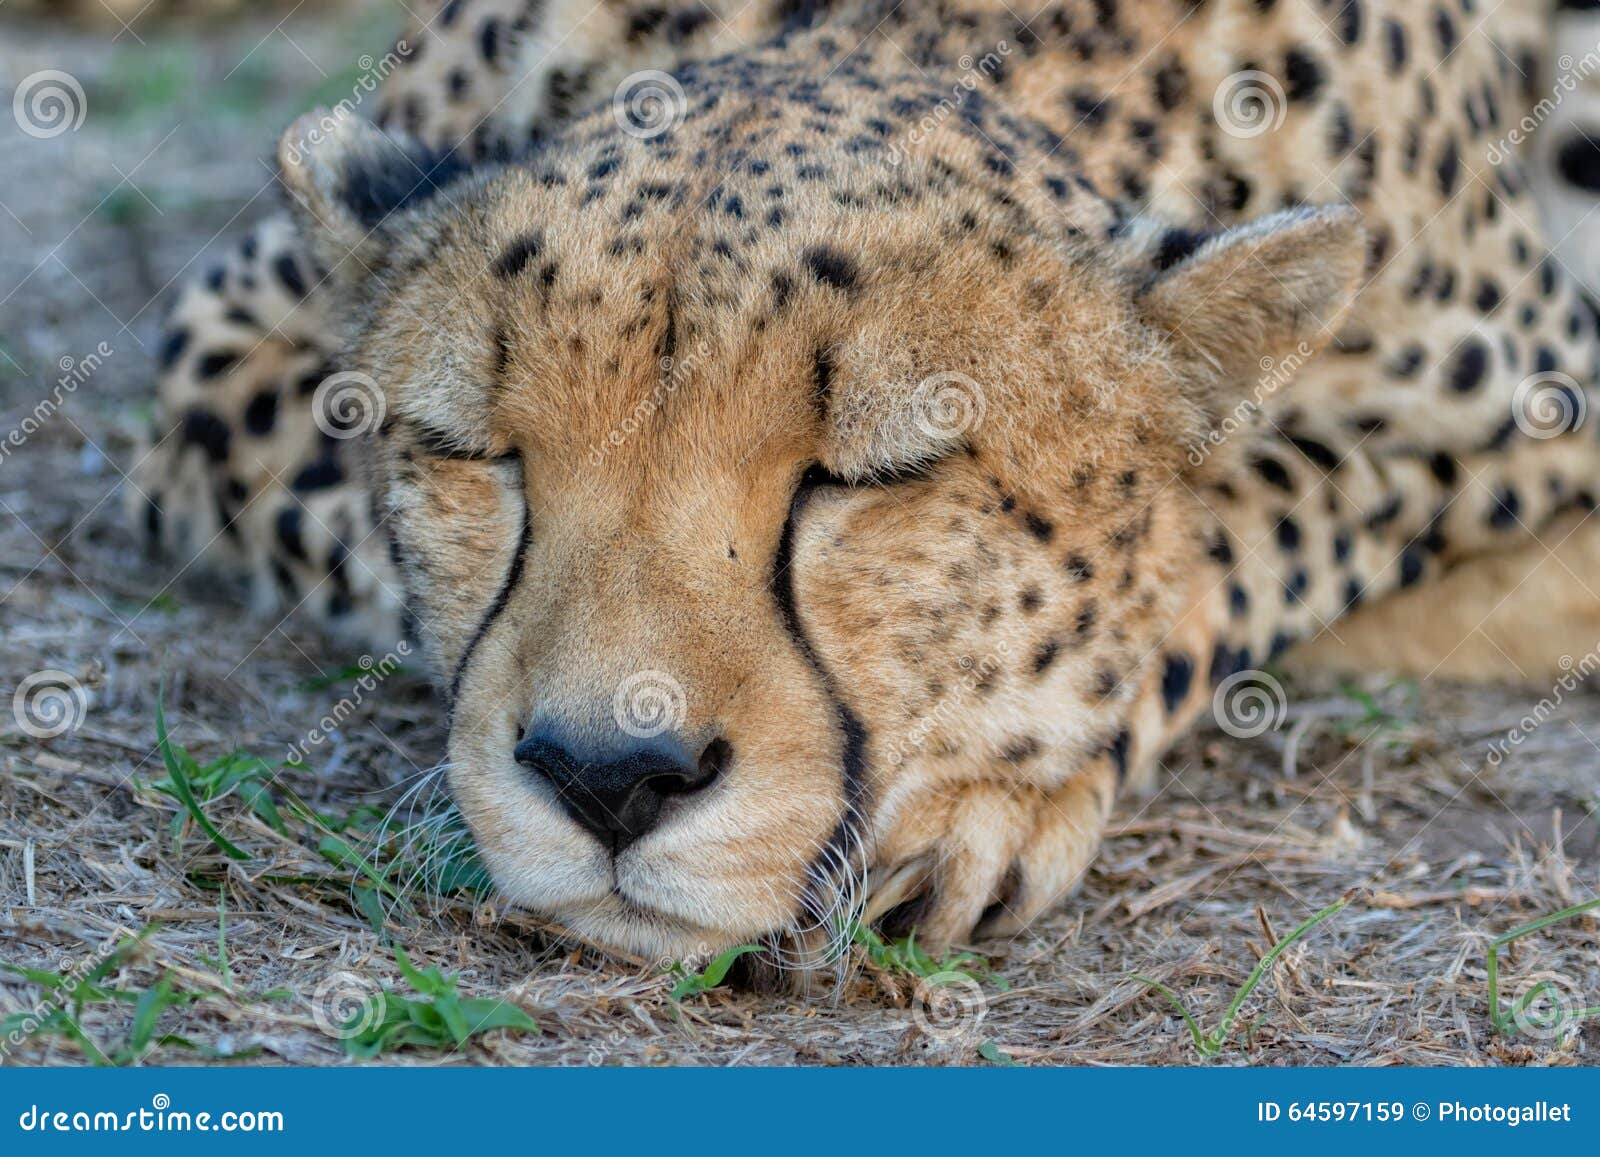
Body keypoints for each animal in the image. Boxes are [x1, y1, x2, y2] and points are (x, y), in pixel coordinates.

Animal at [131, 0, 1600, 965]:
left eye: (870, 475)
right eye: (479, 452)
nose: (609, 777)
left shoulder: (1544, 429)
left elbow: (1231, 543)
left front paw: (983, 800)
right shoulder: (224, 348)